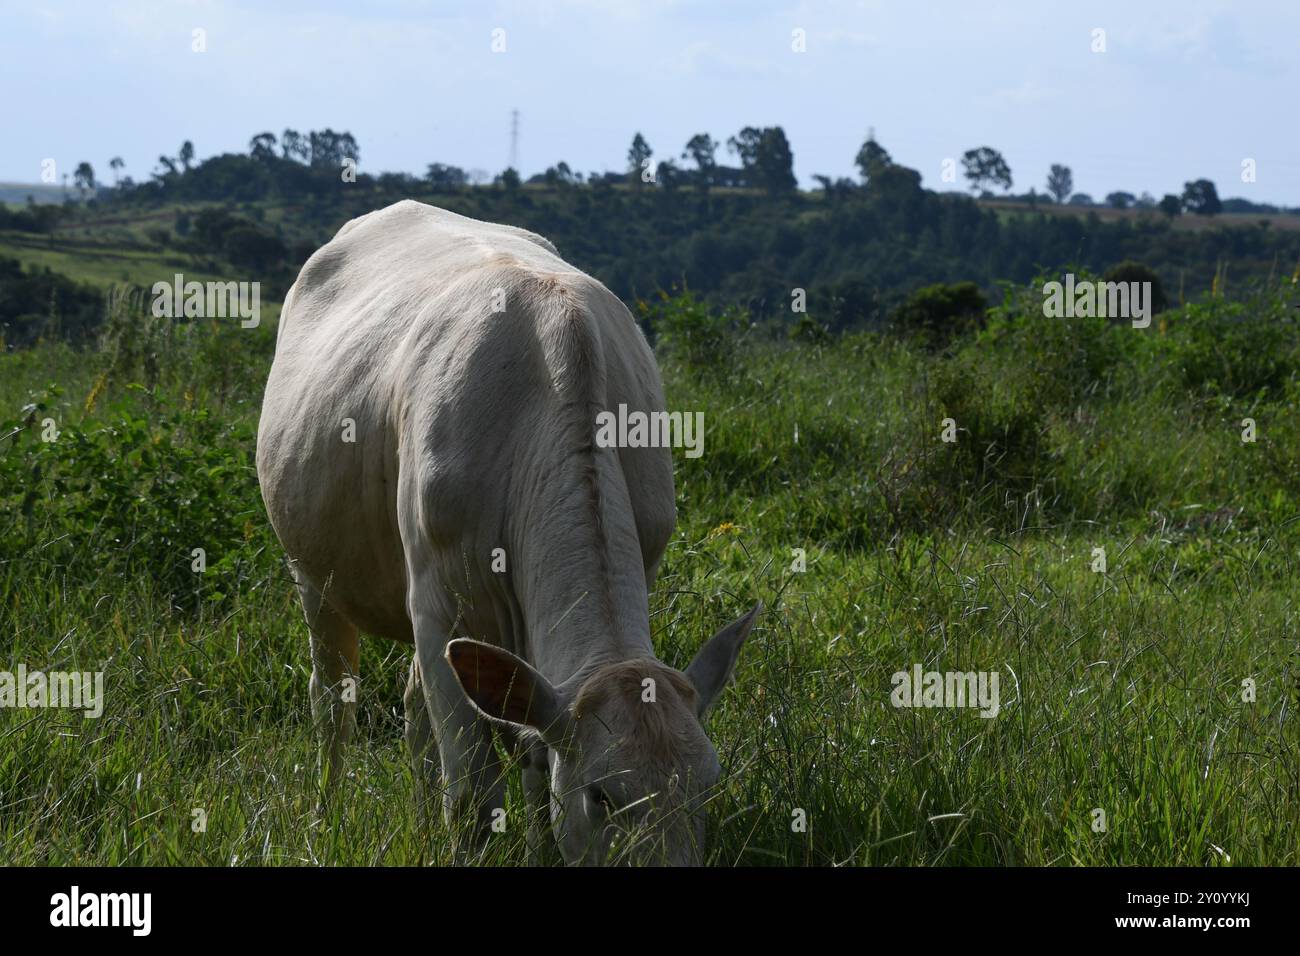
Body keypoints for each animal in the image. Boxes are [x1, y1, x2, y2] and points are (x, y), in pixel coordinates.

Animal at [255, 200, 760, 865]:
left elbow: (532, 752)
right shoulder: (441, 601)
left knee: (414, 712)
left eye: (707, 786)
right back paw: (327, 813)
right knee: (333, 700)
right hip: (315, 574)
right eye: (602, 796)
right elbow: (473, 793)